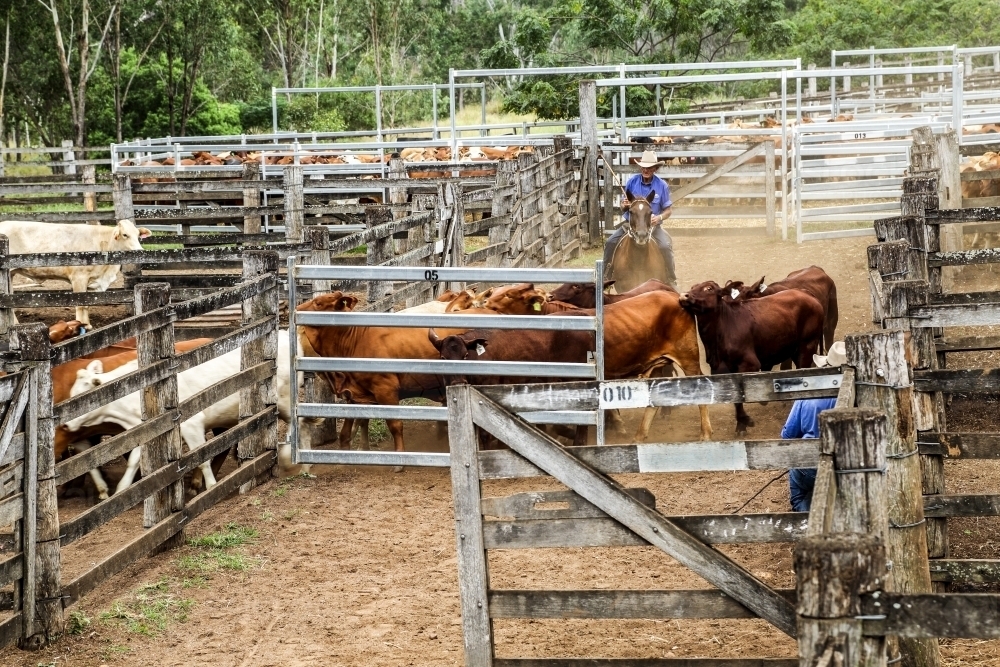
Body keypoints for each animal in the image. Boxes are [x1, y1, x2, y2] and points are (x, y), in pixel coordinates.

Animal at [0, 219, 152, 326]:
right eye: (125, 235)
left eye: (138, 235)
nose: (140, 251)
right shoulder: (79, 278)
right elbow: (80, 304)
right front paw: (83, 326)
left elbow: (87, 304)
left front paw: (88, 325)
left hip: (10, 275)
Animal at [680, 281, 825, 434]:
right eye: (693, 287)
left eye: (709, 288)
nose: (684, 295)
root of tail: (806, 293)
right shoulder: (720, 369)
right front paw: (741, 424)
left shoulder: (749, 364)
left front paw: (744, 420)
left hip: (807, 346)